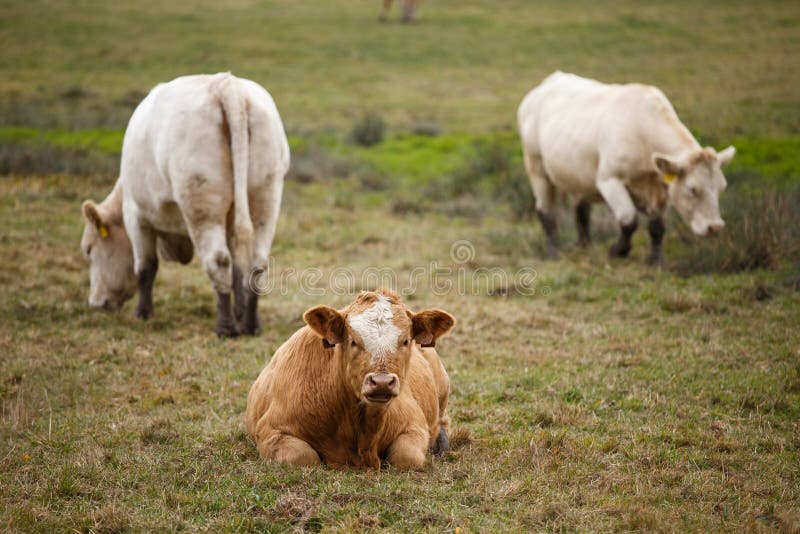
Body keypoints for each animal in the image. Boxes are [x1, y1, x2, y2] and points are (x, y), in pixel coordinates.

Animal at [80, 73, 289, 337]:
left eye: (89, 250)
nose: (95, 303)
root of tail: (225, 85)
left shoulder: (135, 215)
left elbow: (145, 268)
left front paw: (142, 313)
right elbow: (238, 273)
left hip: (201, 206)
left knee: (218, 261)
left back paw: (225, 328)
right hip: (265, 198)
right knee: (255, 264)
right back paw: (250, 325)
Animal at [245, 289, 455, 470]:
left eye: (405, 341)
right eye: (353, 341)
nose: (381, 382)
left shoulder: (415, 425)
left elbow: (406, 457)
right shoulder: (271, 431)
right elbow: (304, 457)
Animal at [517, 71, 735, 265]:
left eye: (722, 188)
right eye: (692, 189)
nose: (715, 227)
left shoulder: (661, 189)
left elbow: (657, 227)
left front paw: (656, 260)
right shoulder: (609, 180)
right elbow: (628, 219)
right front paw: (618, 250)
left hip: (578, 176)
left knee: (582, 209)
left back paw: (584, 245)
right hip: (536, 166)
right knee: (546, 211)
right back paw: (552, 251)